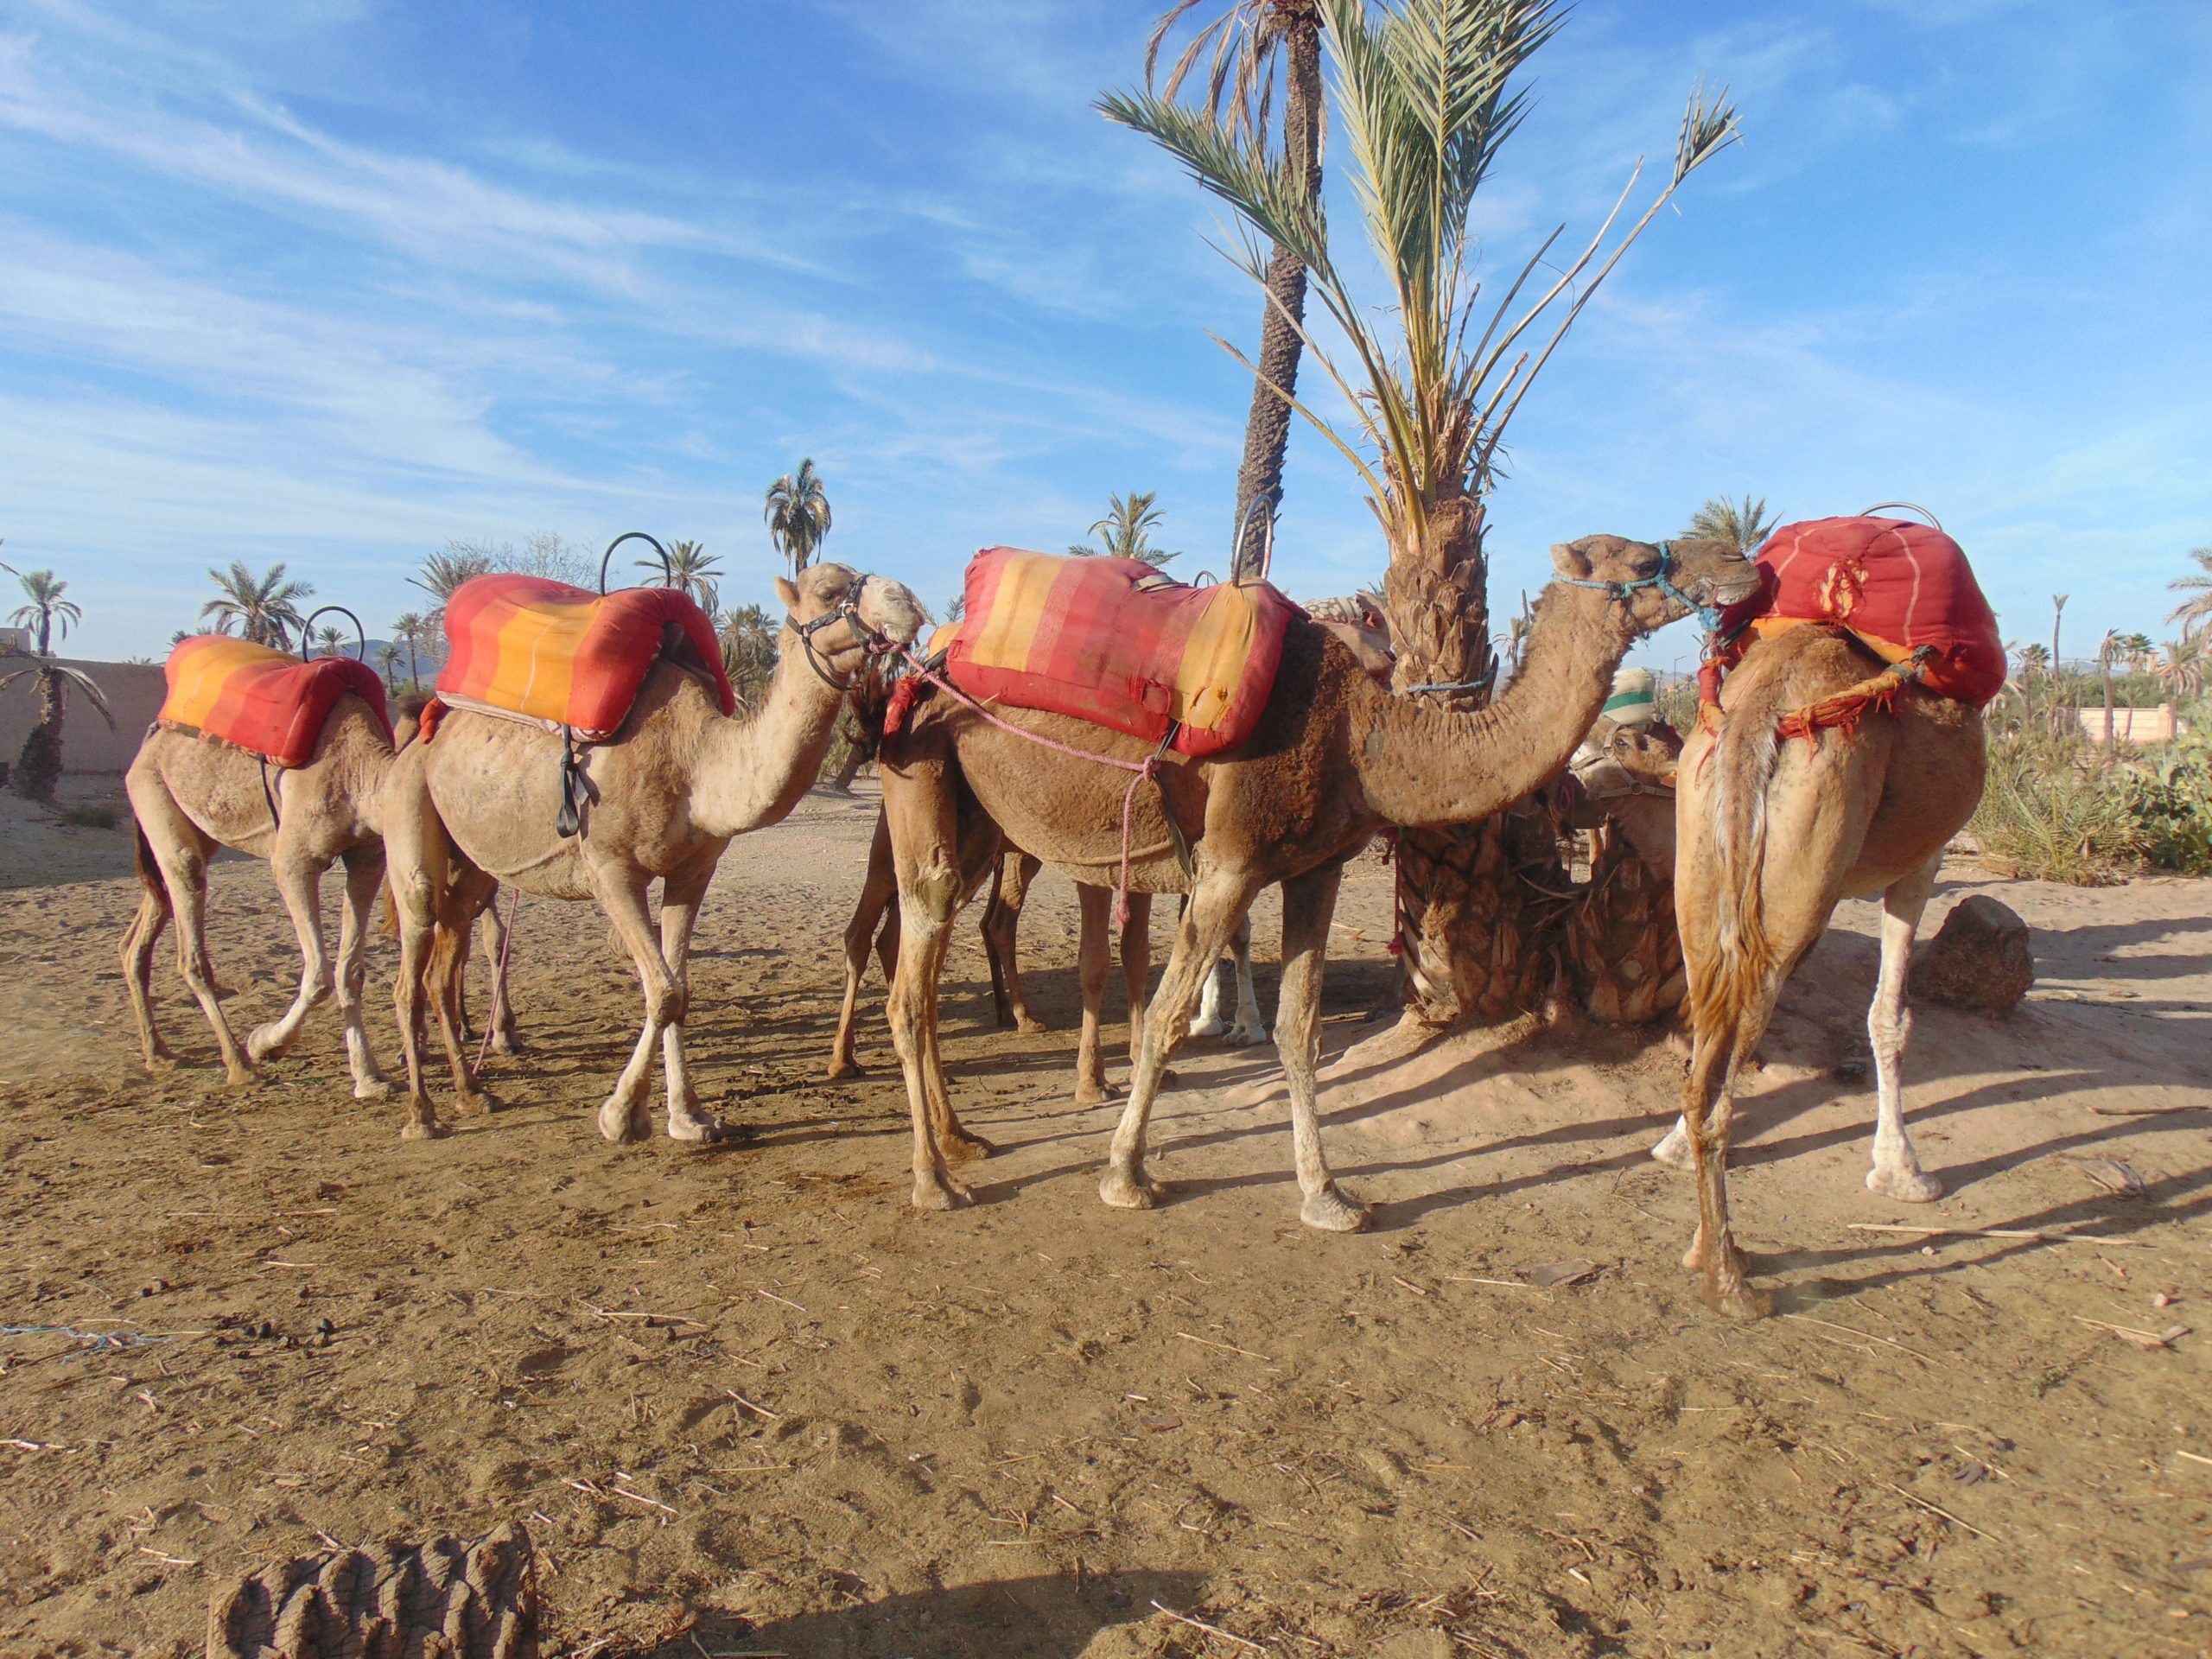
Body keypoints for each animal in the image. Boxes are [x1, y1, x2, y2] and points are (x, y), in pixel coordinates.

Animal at [121, 697, 516, 1096]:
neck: (357, 773)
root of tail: (150, 739)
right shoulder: (294, 863)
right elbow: (319, 975)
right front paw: (265, 1043)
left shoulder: (367, 858)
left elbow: (350, 971)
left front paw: (368, 1077)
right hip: (152, 788)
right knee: (189, 926)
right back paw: (239, 1064)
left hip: (194, 830)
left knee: (144, 923)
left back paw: (158, 1053)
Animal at [382, 563, 925, 1141]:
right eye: (827, 591)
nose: (906, 601)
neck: (696, 764)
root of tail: (426, 722)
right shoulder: (611, 870)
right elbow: (662, 991)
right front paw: (620, 1116)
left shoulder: (694, 869)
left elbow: (680, 990)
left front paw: (689, 1117)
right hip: (410, 806)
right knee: (409, 969)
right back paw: (421, 1114)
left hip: (474, 862)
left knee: (441, 969)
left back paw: (471, 1092)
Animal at [879, 535, 1758, 1222]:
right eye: (1642, 557)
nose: (1740, 560)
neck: (1363, 735)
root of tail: (922, 663)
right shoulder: (1229, 865)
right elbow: (1166, 1016)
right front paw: (1125, 1177)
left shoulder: (1315, 870)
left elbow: (1300, 1031)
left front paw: (1326, 1195)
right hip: (920, 771)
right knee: (912, 979)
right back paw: (931, 1182)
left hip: (980, 819)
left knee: (929, 966)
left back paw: (961, 1141)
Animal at [1653, 625, 1986, 1316]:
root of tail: (1756, 719)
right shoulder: (1923, 862)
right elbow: (1890, 1018)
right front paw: (1903, 1173)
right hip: (1801, 878)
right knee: (1722, 1089)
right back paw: (1731, 1281)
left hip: (1697, 856)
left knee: (1702, 1062)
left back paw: (1707, 1245)